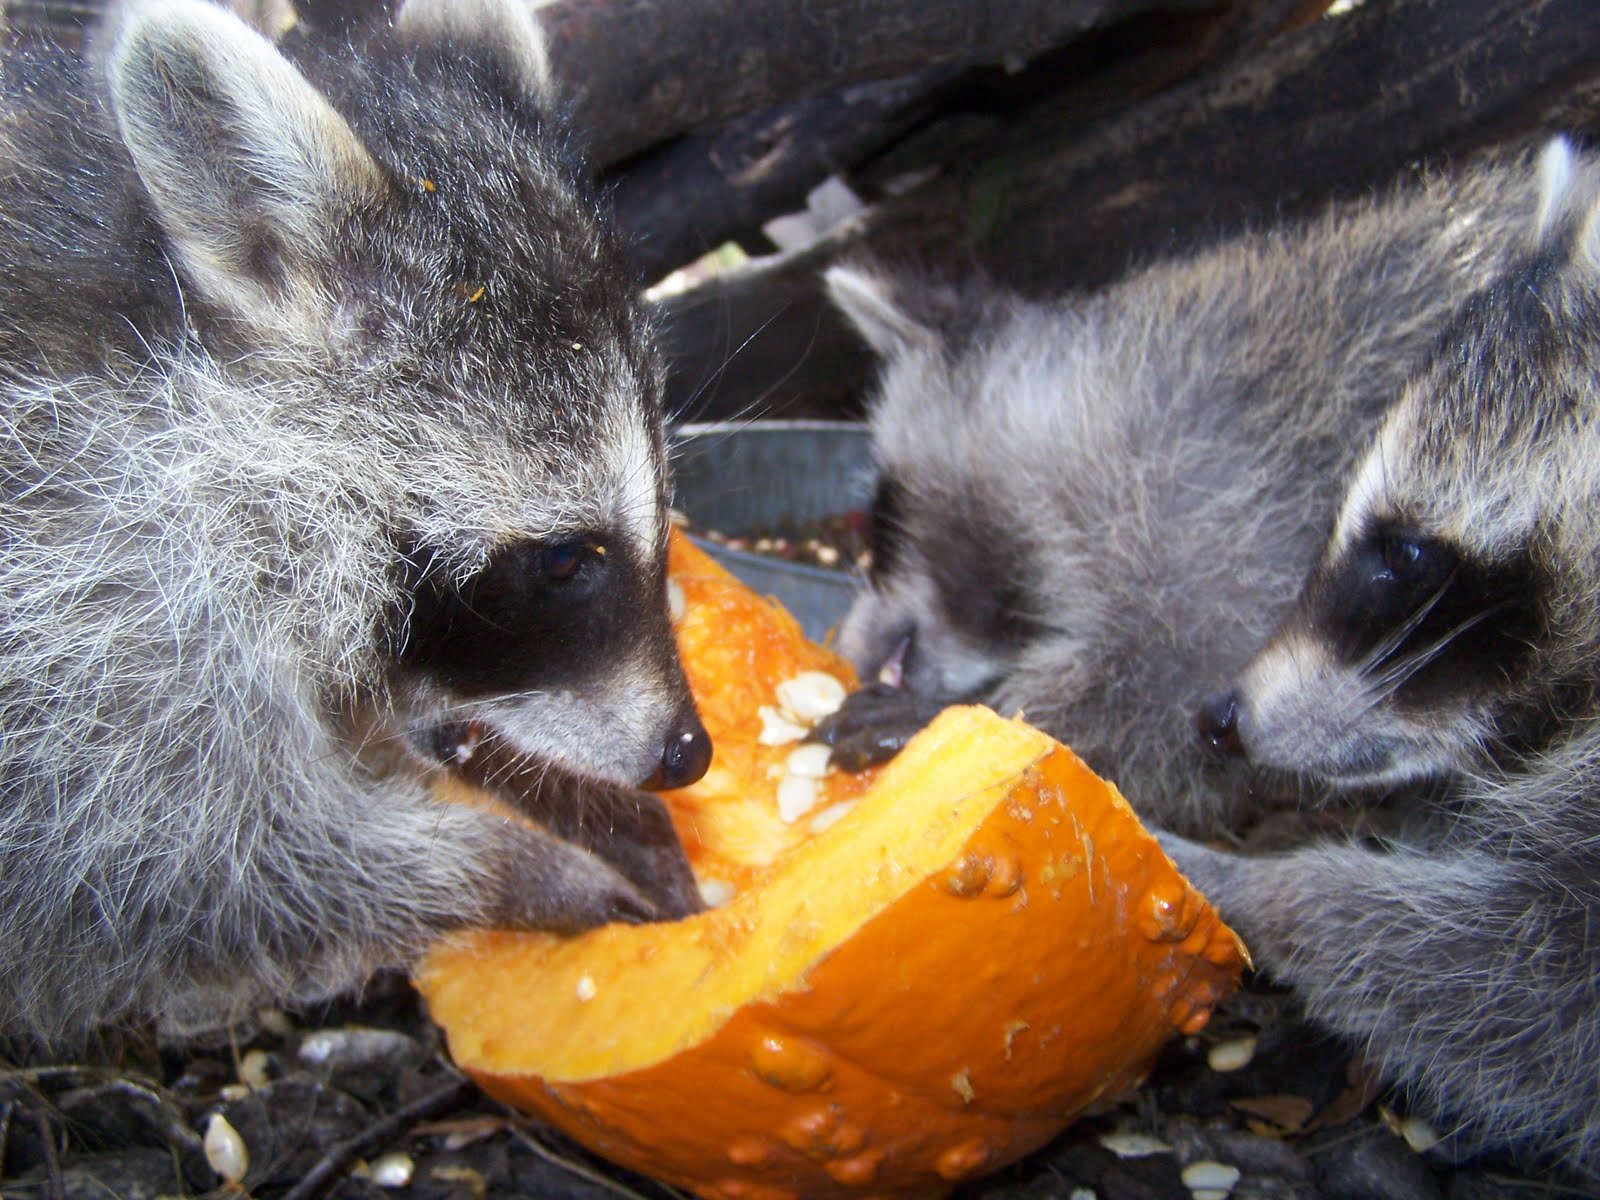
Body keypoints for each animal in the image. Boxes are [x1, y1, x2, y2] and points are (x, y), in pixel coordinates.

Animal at [815, 149, 1548, 837]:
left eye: (884, 507)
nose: (848, 648)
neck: (1082, 403)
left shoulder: (1234, 511)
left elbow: (1176, 692)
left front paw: (973, 717)